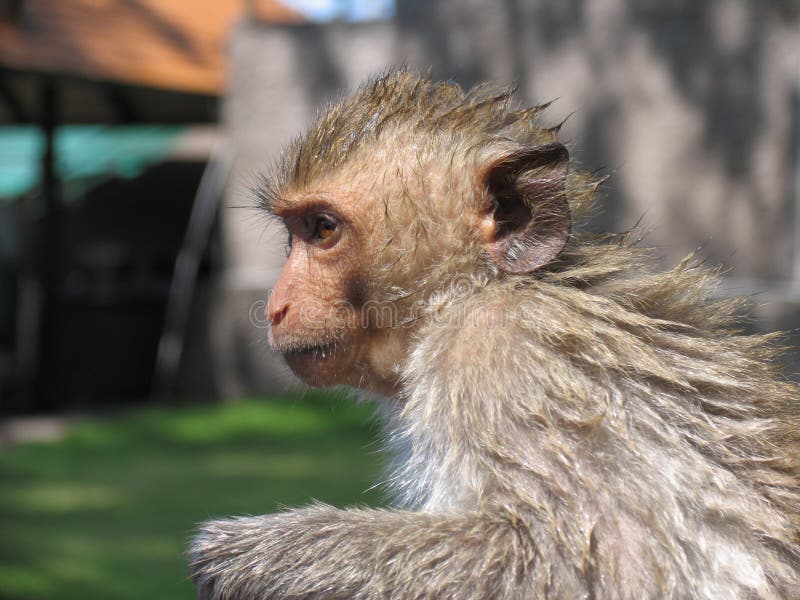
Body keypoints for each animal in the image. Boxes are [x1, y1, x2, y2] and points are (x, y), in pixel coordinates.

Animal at [190, 70, 800, 599]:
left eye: (321, 229)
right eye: (294, 232)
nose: (275, 306)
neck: (473, 292)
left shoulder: (508, 357)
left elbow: (567, 563)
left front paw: (251, 554)